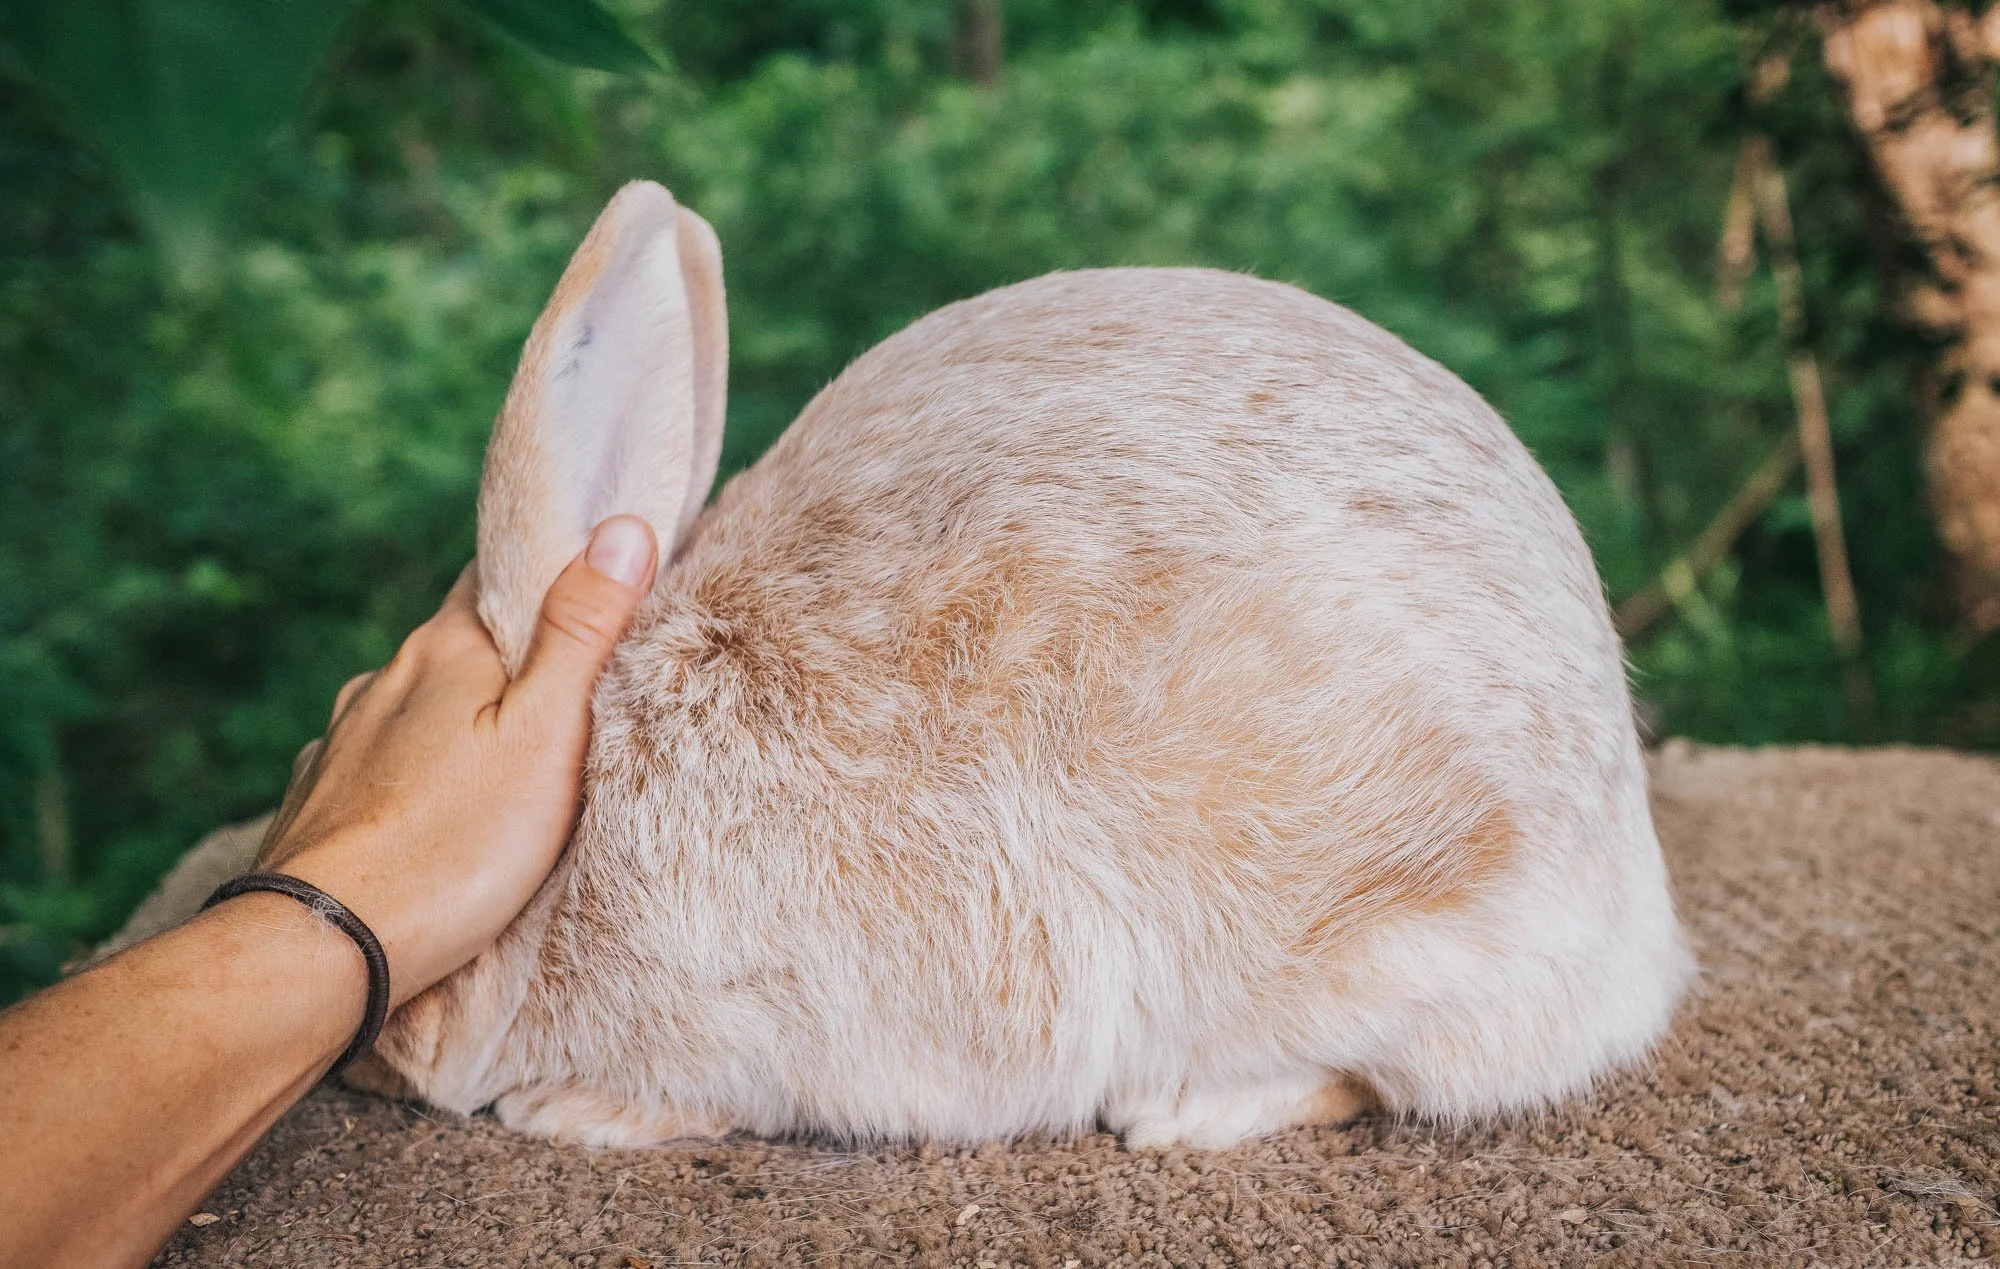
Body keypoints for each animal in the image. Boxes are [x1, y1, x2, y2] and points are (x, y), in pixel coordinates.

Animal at [320, 179, 1692, 1149]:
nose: (376, 1057)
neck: (578, 845)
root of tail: (1634, 906)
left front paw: (574, 1114)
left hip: (1399, 935)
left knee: (1388, 1076)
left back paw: (1184, 1114)